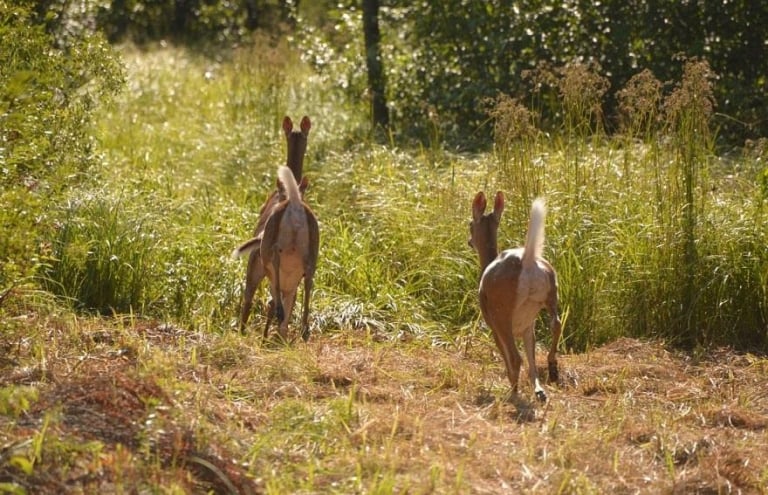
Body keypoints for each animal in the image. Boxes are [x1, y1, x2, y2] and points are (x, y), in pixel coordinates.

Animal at [233, 166, 319, 341]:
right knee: (307, 284)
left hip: (270, 251)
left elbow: (248, 300)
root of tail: (294, 203)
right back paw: (303, 328)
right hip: (311, 255)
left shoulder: (255, 271)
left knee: (275, 266)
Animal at [468, 192, 562, 402]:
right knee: (556, 324)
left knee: (515, 356)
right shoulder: (528, 325)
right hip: (552, 291)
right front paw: (538, 390)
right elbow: (531, 354)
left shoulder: (492, 324)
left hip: (501, 310)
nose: (469, 241)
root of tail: (526, 260)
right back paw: (552, 370)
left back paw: (512, 393)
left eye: (470, 224)